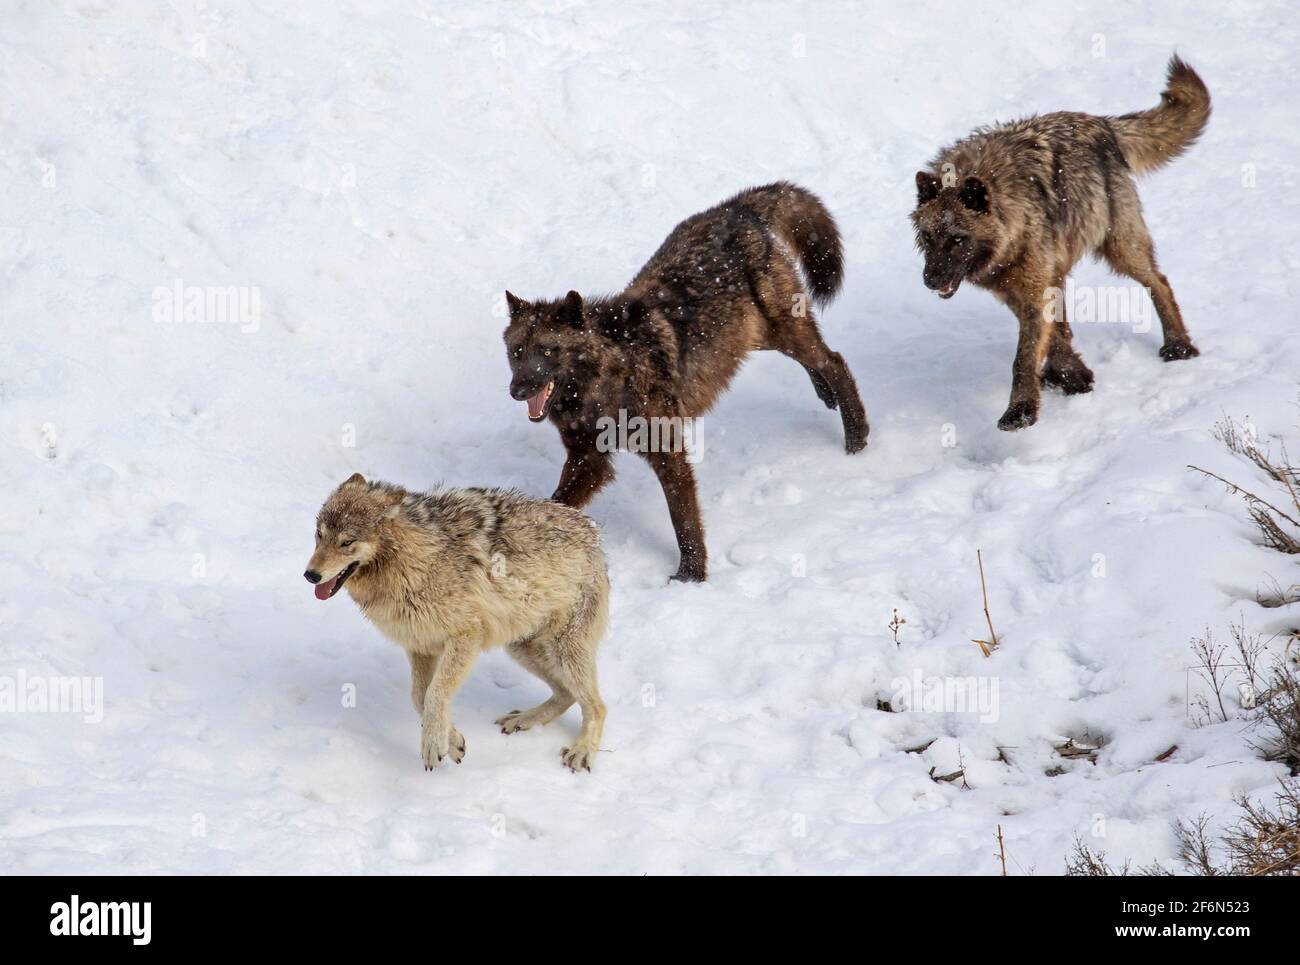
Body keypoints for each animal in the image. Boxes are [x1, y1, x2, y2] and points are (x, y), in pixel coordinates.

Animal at [304, 473, 609, 772]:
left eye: (346, 542)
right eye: (319, 535)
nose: (310, 575)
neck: (412, 561)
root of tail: (592, 531)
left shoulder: (466, 636)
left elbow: (435, 694)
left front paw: (432, 745)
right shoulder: (420, 645)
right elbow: (419, 697)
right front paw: (451, 742)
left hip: (561, 649)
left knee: (597, 706)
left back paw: (581, 751)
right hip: (522, 648)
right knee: (566, 695)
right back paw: (524, 719)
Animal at [504, 182, 869, 583]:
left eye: (547, 351)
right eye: (516, 352)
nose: (516, 391)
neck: (605, 382)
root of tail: (734, 208)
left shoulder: (667, 451)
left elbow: (683, 519)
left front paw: (691, 577)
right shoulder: (589, 459)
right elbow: (555, 504)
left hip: (780, 331)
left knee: (834, 361)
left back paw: (856, 438)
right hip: (754, 339)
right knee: (823, 359)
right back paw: (827, 397)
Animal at [912, 55, 1210, 431]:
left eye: (957, 239)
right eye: (928, 237)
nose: (930, 280)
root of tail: (1102, 123)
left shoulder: (1031, 290)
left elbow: (1024, 357)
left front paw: (1020, 411)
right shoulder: (1016, 291)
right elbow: (1052, 337)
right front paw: (1073, 375)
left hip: (1121, 250)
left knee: (1160, 282)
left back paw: (1179, 347)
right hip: (1068, 266)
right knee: (1068, 323)